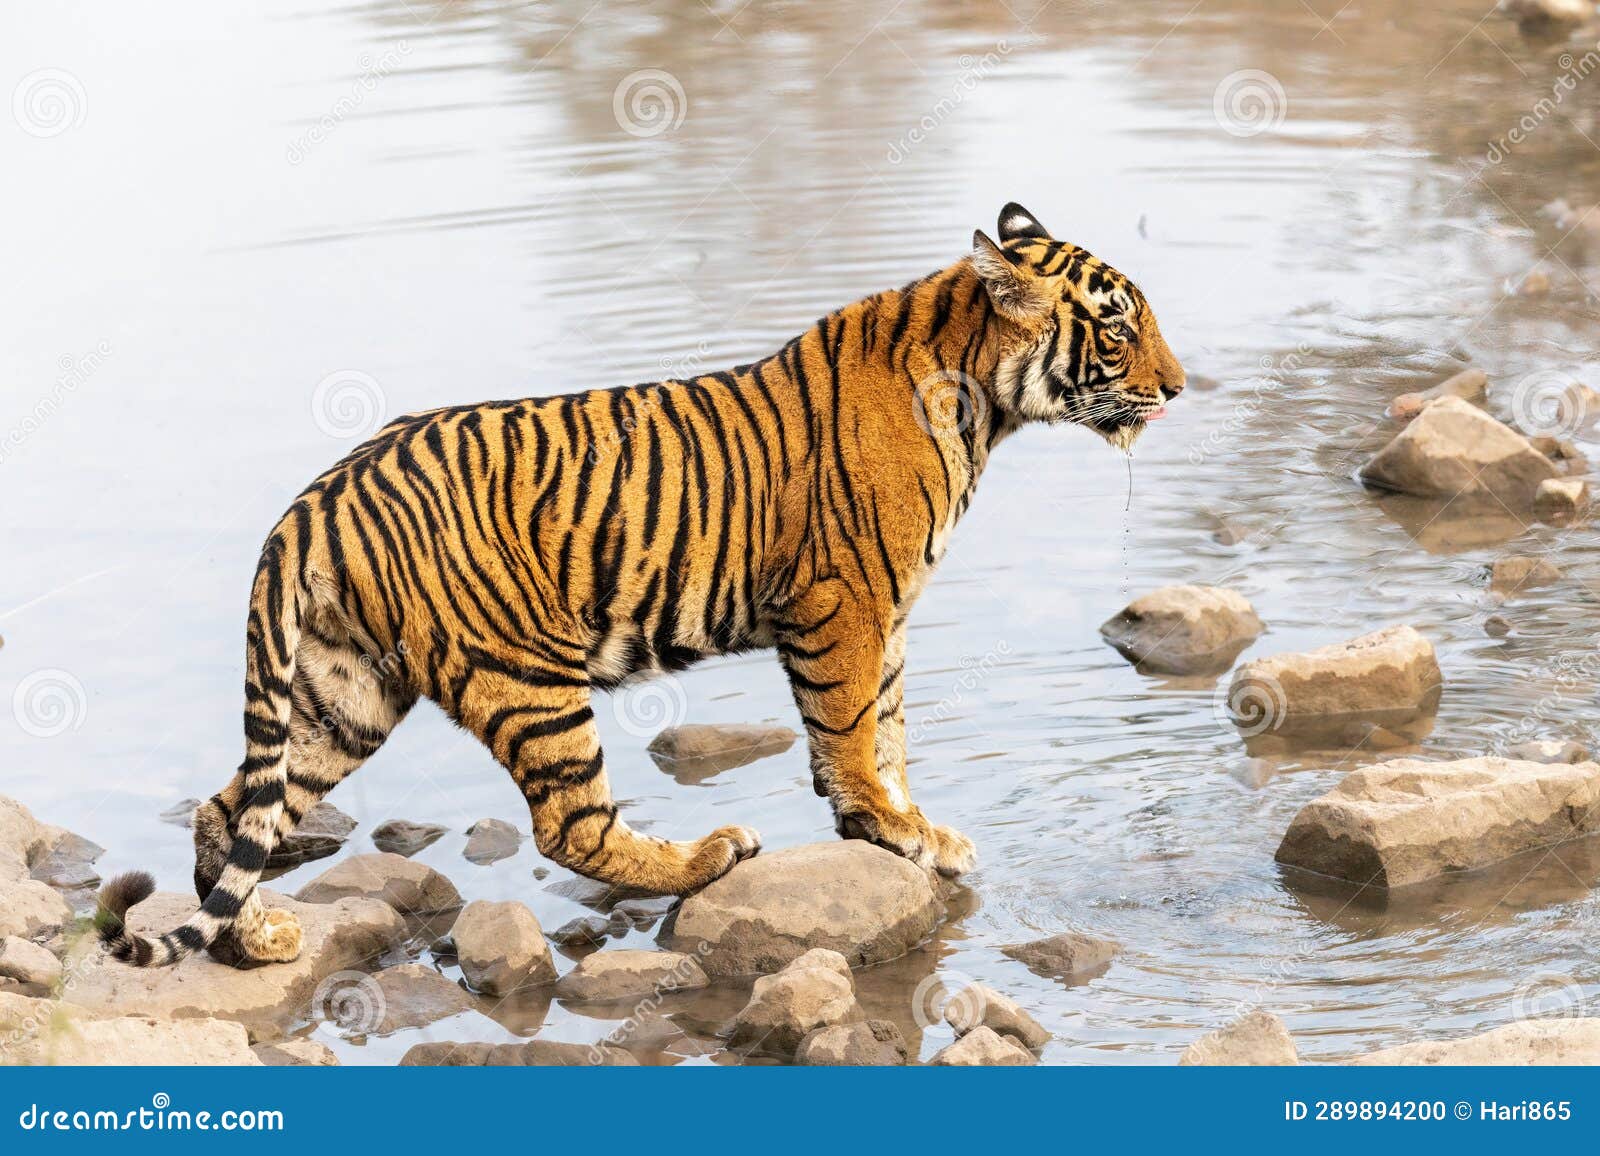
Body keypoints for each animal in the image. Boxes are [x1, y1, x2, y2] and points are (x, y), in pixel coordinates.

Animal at [97, 202, 1184, 968]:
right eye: (1117, 327)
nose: (1177, 388)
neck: (980, 397)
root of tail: (316, 497)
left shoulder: (890, 613)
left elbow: (888, 729)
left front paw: (905, 831)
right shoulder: (846, 603)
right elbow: (852, 733)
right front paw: (895, 829)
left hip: (342, 692)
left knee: (235, 806)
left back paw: (254, 939)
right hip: (526, 673)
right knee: (569, 825)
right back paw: (710, 856)